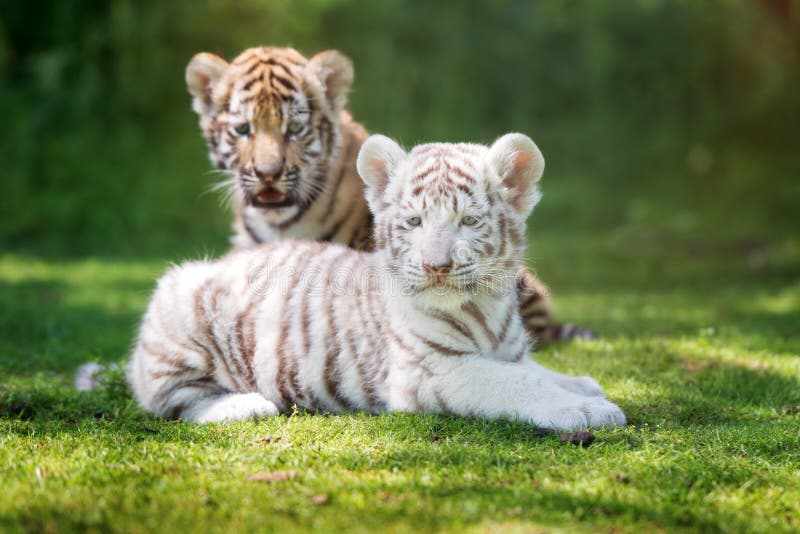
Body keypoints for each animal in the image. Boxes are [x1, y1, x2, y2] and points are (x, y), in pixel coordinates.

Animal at [127, 133, 626, 429]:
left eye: (468, 221)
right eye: (414, 221)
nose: (436, 265)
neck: (484, 305)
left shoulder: (507, 351)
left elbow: (532, 370)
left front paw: (582, 384)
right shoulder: (432, 369)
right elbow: (515, 383)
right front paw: (586, 409)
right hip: (183, 320)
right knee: (169, 398)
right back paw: (244, 404)